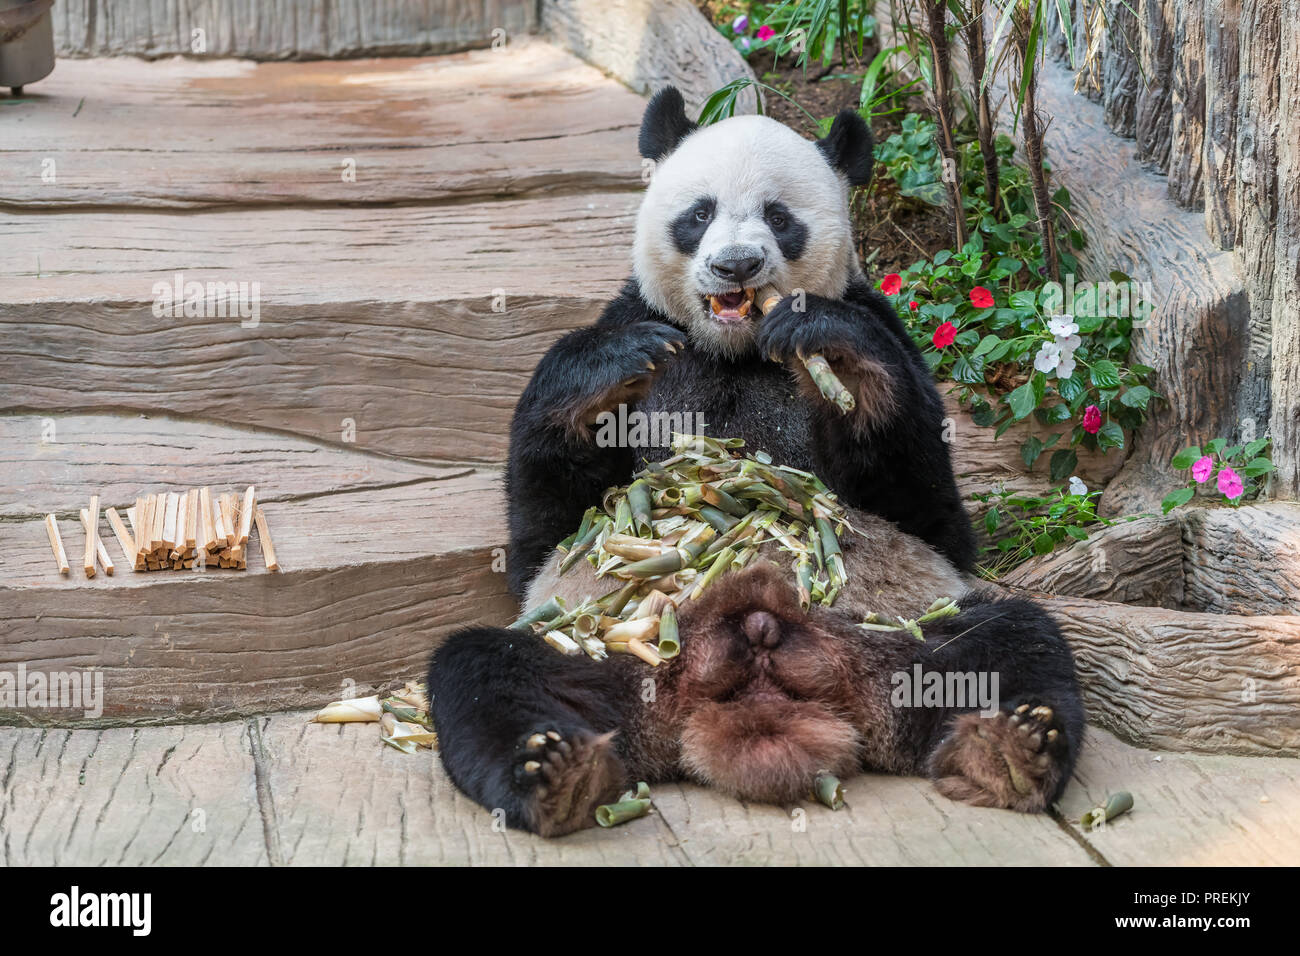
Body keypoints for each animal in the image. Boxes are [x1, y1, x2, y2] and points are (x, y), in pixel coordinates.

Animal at [427, 88, 1084, 836]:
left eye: (779, 217)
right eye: (699, 213)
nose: (737, 265)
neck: (736, 349)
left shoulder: (884, 328)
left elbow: (929, 512)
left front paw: (833, 355)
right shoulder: (644, 327)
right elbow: (546, 531)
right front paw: (611, 367)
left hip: (898, 631)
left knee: (1009, 643)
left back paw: (1009, 748)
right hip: (598, 643)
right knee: (489, 670)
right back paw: (555, 769)